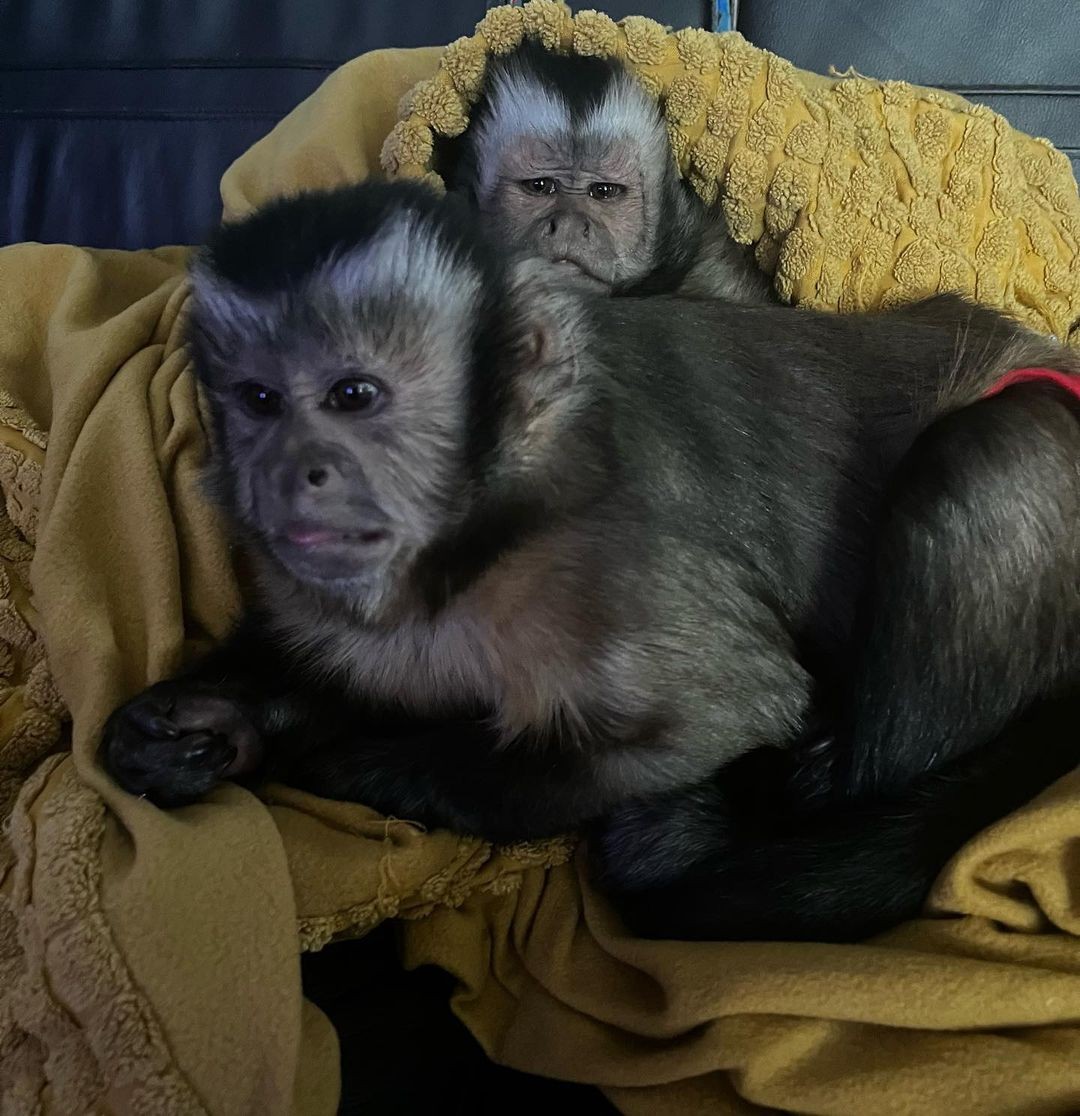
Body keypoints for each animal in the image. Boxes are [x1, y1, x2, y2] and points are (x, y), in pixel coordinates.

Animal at [100, 180, 1080, 943]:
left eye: (353, 395)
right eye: (258, 401)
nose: (289, 474)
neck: (465, 554)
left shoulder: (609, 561)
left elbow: (728, 711)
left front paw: (357, 767)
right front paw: (213, 723)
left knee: (981, 459)